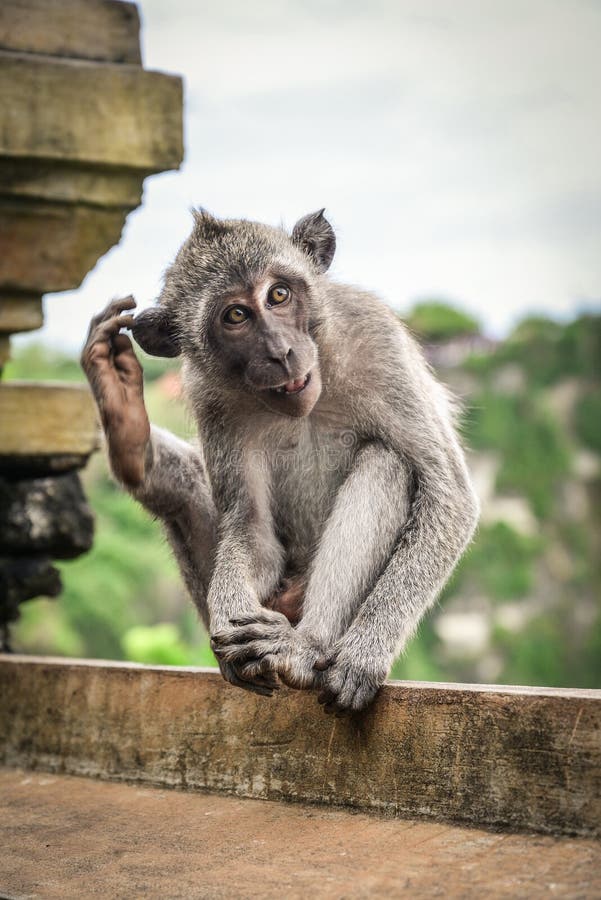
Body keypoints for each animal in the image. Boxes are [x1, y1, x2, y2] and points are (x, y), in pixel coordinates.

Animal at [81, 209, 479, 713]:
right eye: (236, 315)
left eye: (278, 295)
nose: (281, 352)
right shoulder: (212, 398)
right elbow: (249, 523)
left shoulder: (377, 340)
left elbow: (449, 494)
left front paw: (364, 655)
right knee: (187, 488)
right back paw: (130, 435)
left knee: (387, 461)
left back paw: (304, 646)